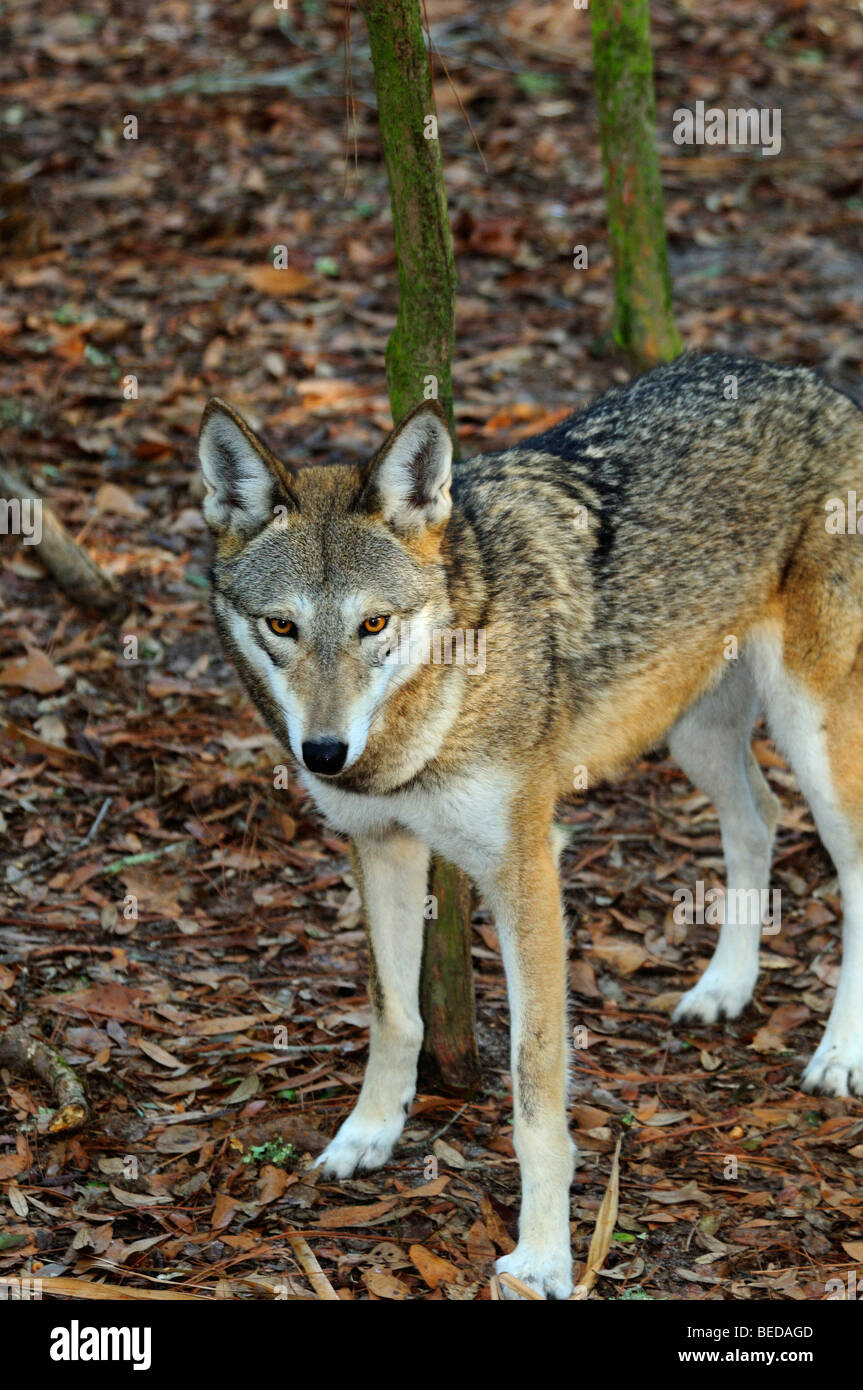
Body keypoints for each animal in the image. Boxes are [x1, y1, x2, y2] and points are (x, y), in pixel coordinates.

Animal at [198, 353, 863, 1298]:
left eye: (373, 624)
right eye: (282, 626)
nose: (324, 753)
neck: (432, 703)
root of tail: (807, 377)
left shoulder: (527, 870)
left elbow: (534, 1086)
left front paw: (544, 1256)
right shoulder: (379, 845)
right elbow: (393, 1014)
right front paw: (368, 1134)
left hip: (809, 730)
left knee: (848, 867)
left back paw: (838, 1054)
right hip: (694, 737)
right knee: (757, 821)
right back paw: (723, 986)